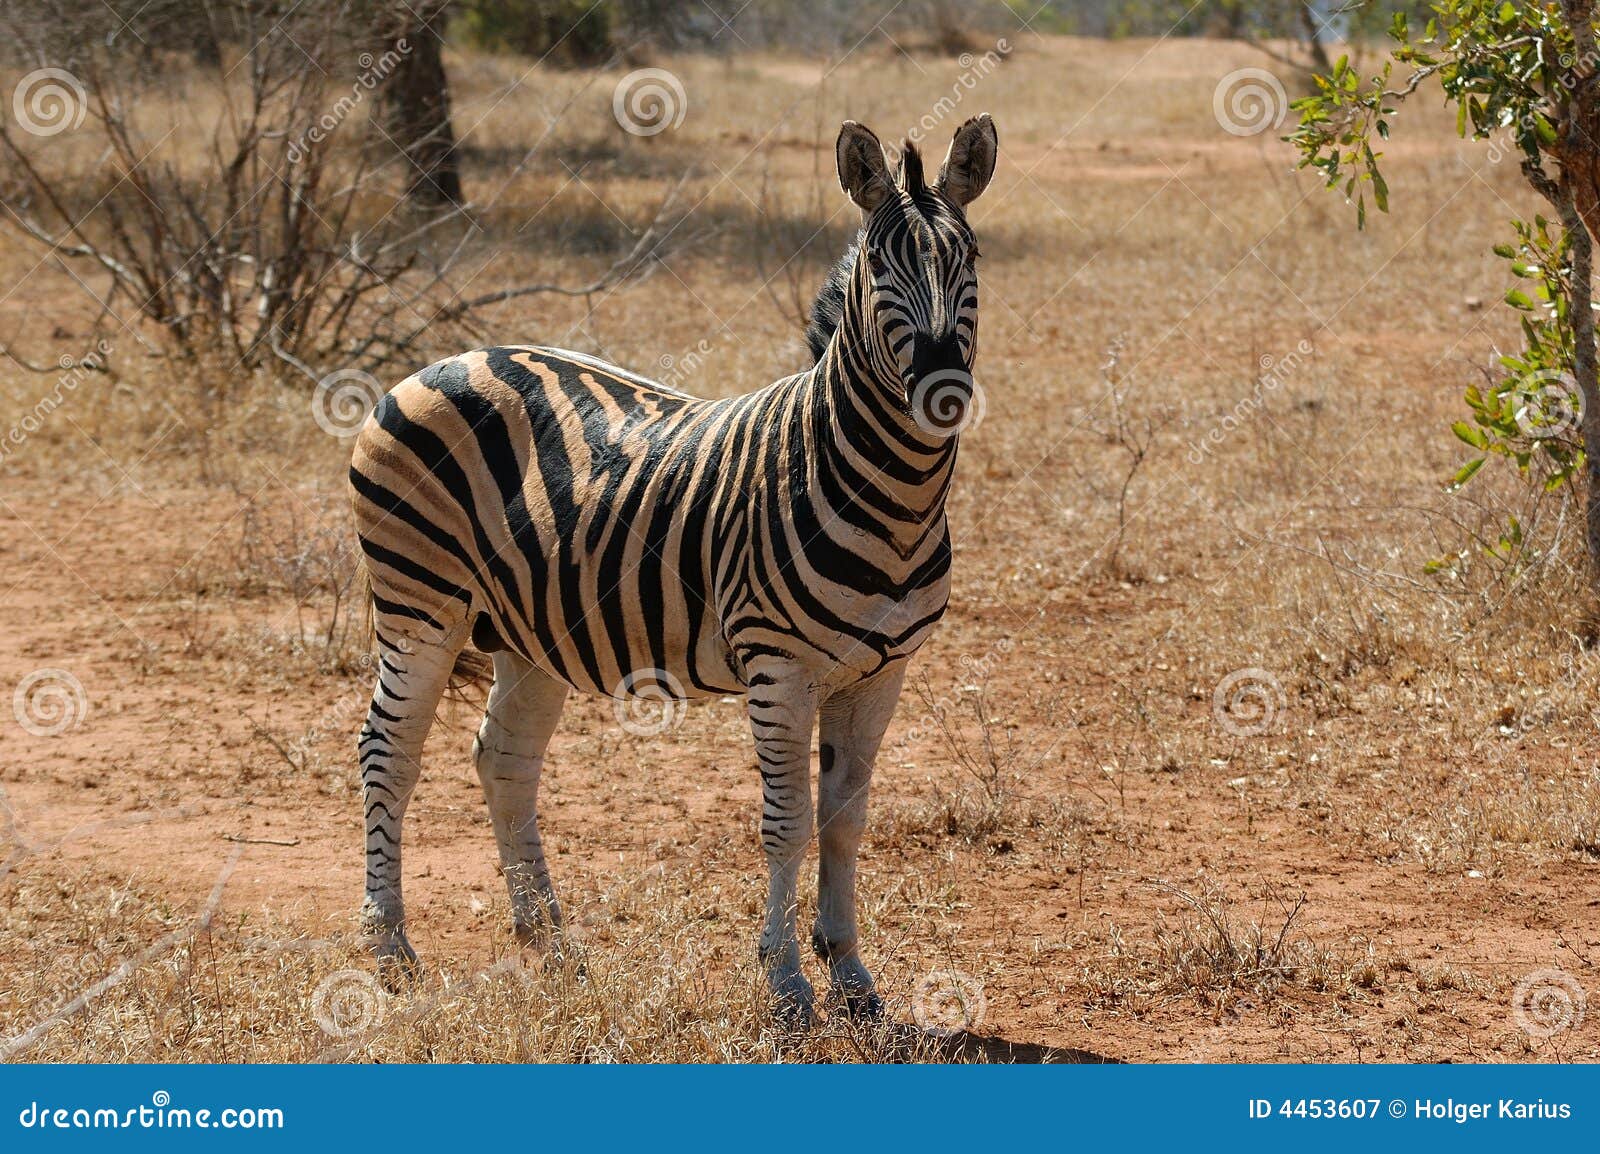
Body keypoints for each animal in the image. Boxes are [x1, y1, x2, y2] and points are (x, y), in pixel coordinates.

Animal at [349, 115, 998, 1025]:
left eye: (967, 258)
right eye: (879, 266)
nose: (942, 389)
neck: (887, 493)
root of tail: (449, 359)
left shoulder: (881, 673)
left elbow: (845, 820)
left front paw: (851, 975)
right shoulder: (779, 666)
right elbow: (788, 822)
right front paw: (787, 982)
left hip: (528, 629)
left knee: (503, 759)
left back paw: (552, 946)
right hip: (419, 604)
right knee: (389, 753)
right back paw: (391, 952)